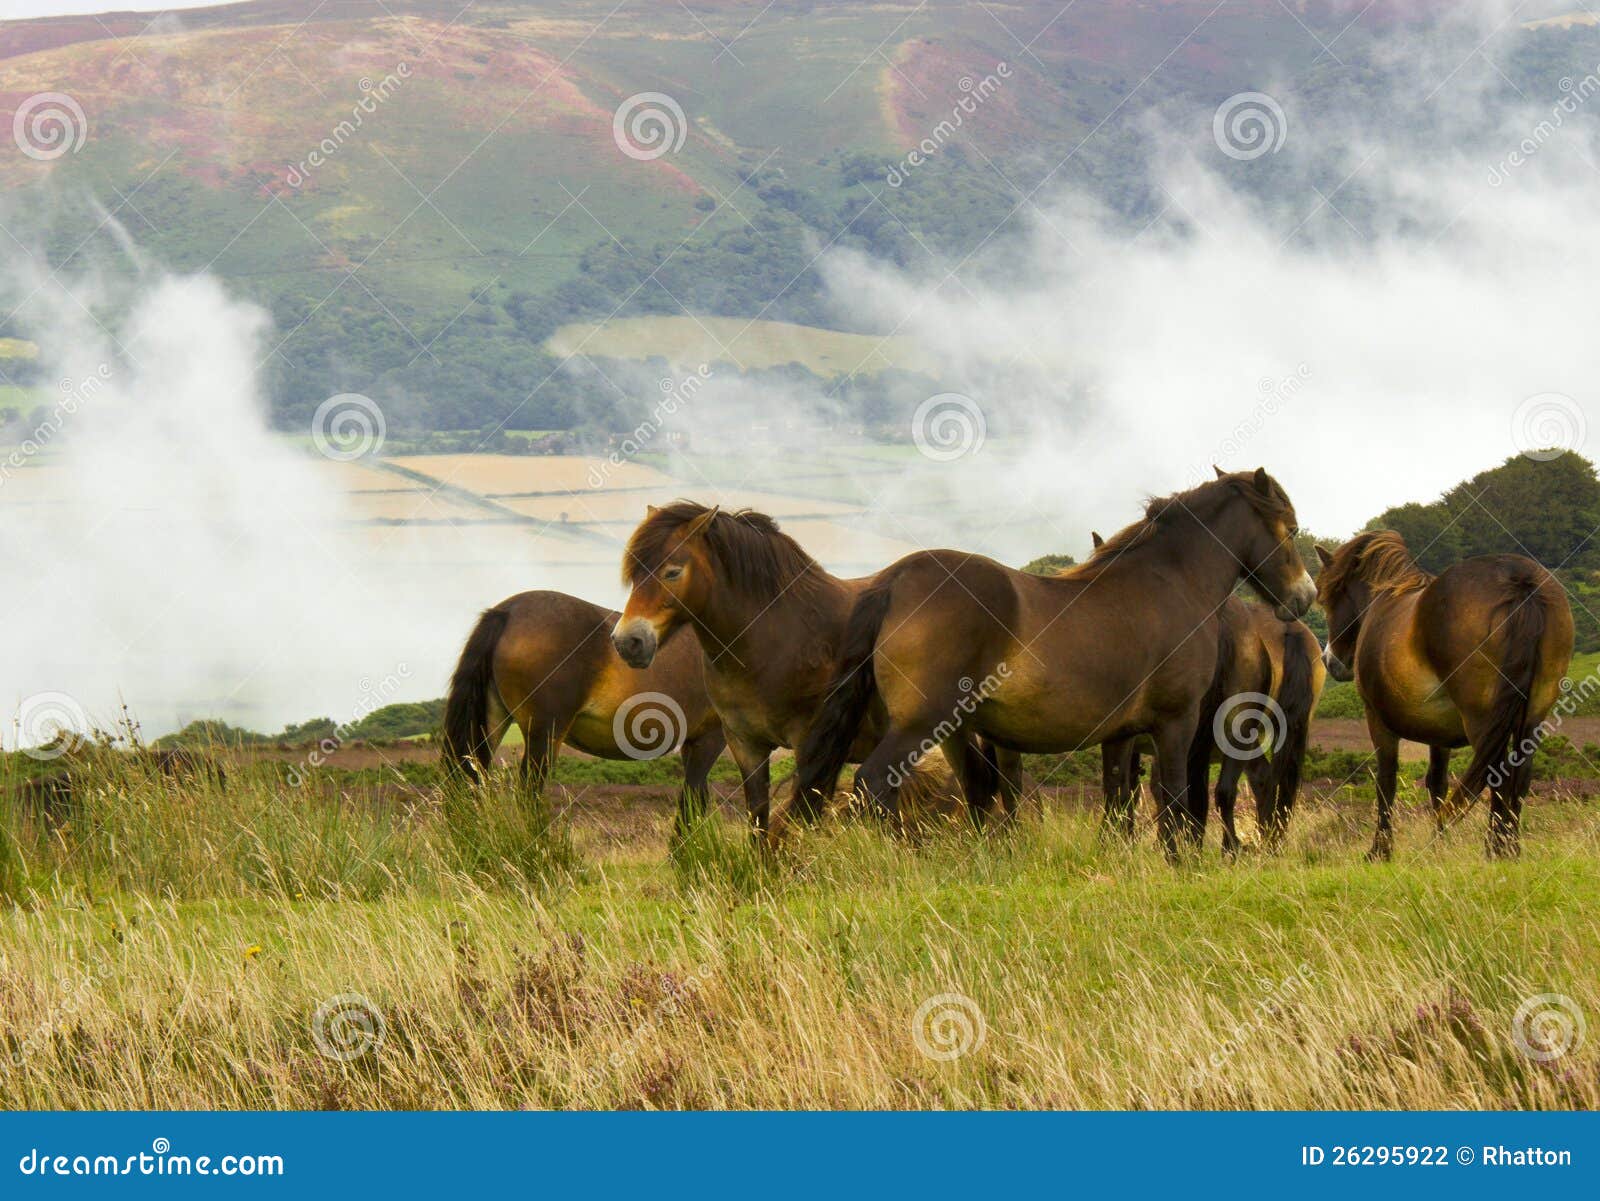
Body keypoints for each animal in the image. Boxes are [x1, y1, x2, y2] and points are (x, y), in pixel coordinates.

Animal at [443, 590, 726, 834]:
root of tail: (508, 611)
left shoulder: (693, 744)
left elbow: (698, 799)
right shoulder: (709, 740)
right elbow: (690, 804)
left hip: (492, 723)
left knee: (471, 781)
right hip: (543, 735)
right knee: (528, 794)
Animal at [611, 503, 1022, 834]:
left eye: (672, 572)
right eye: (635, 574)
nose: (628, 642)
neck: (772, 635)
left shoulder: (810, 741)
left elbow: (807, 809)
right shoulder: (745, 744)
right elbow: (758, 816)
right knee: (978, 782)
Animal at [795, 468, 1317, 857]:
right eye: (1290, 529)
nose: (1305, 596)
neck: (1169, 581)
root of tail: (896, 578)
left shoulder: (1122, 736)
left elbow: (1118, 800)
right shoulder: (1176, 723)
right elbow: (1174, 797)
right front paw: (1179, 864)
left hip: (953, 731)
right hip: (921, 724)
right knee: (873, 785)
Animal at [1314, 530, 1574, 859]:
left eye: (1328, 599)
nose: (1330, 660)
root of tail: (1519, 582)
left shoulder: (1377, 720)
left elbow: (1386, 781)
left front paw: (1380, 850)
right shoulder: (1440, 734)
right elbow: (1437, 782)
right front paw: (1439, 843)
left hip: (1483, 722)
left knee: (1499, 776)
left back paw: (1495, 849)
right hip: (1532, 718)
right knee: (1520, 776)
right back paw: (1510, 848)